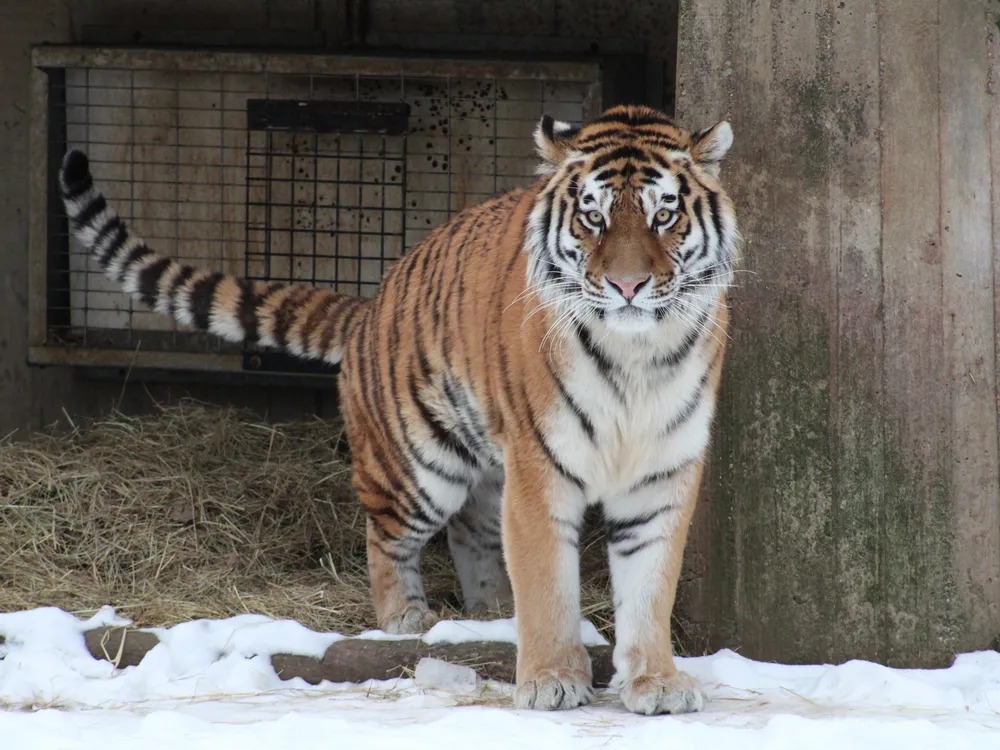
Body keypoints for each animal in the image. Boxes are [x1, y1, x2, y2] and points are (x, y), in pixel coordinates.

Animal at [58, 103, 738, 715]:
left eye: (664, 215)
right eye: (594, 218)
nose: (627, 287)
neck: (636, 356)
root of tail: (370, 304)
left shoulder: (662, 473)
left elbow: (650, 589)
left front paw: (658, 683)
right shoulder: (541, 467)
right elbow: (549, 582)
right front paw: (551, 681)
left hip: (488, 463)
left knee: (471, 532)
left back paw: (491, 613)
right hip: (420, 465)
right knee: (385, 538)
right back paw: (408, 619)